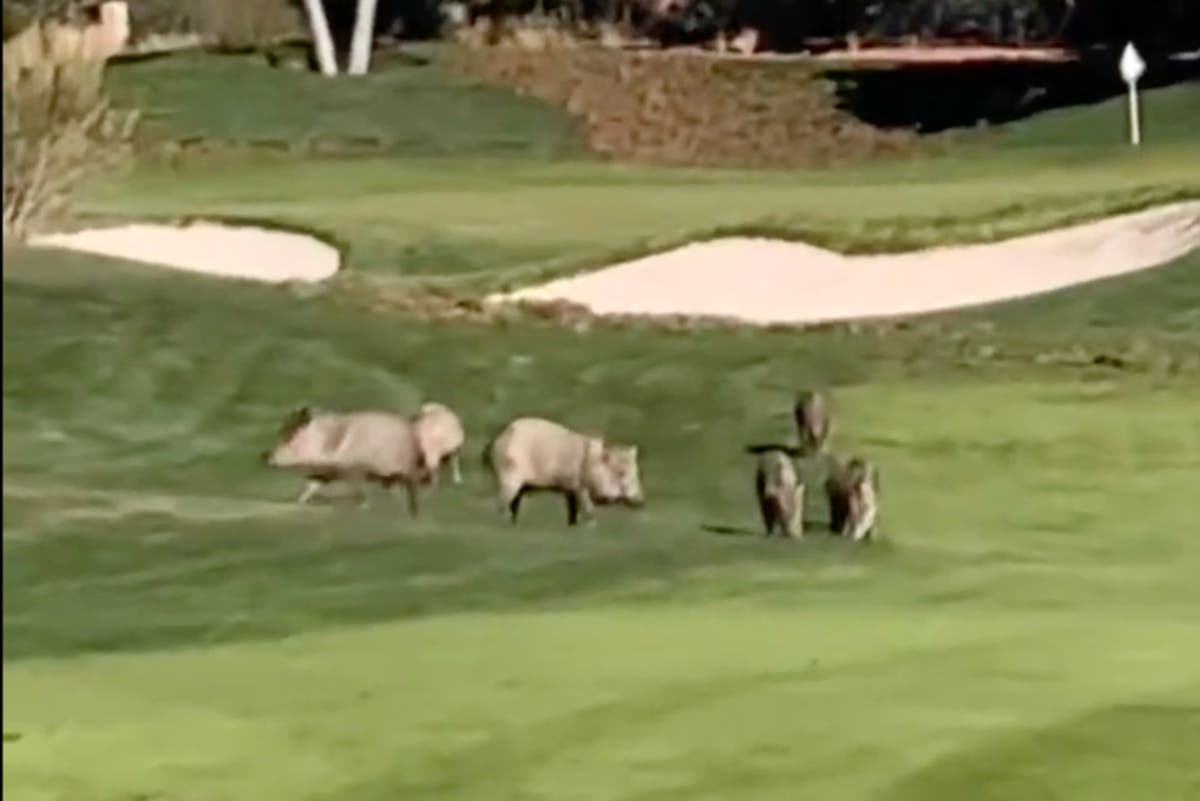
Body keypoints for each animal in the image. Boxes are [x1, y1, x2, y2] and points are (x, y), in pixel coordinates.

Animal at [262, 405, 426, 516]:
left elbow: (361, 491)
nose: (267, 458)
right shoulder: (325, 473)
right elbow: (311, 487)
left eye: (289, 437)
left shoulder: (354, 470)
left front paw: (363, 507)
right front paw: (298, 501)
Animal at [484, 416, 644, 526]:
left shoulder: (571, 489)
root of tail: (493, 445)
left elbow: (573, 509)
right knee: (501, 504)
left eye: (635, 471)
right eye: (621, 472)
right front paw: (591, 524)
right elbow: (586, 507)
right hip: (510, 479)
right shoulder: (579, 486)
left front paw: (574, 525)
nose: (641, 501)